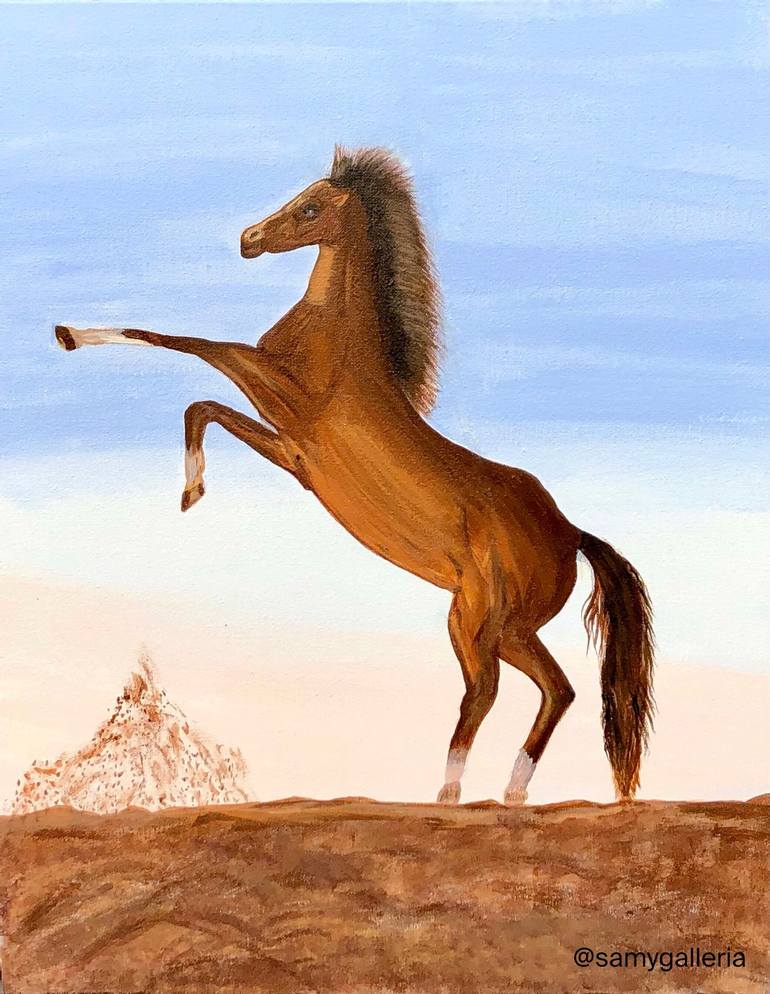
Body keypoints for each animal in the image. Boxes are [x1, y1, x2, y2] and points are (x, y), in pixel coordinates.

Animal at [55, 145, 654, 805]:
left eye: (311, 208)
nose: (247, 239)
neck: (340, 346)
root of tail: (571, 533)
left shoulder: (280, 395)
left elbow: (187, 342)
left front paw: (71, 335)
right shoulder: (293, 453)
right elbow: (202, 406)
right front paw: (192, 491)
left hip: (475, 621)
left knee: (485, 692)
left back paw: (449, 797)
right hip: (511, 628)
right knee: (557, 689)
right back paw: (512, 793)